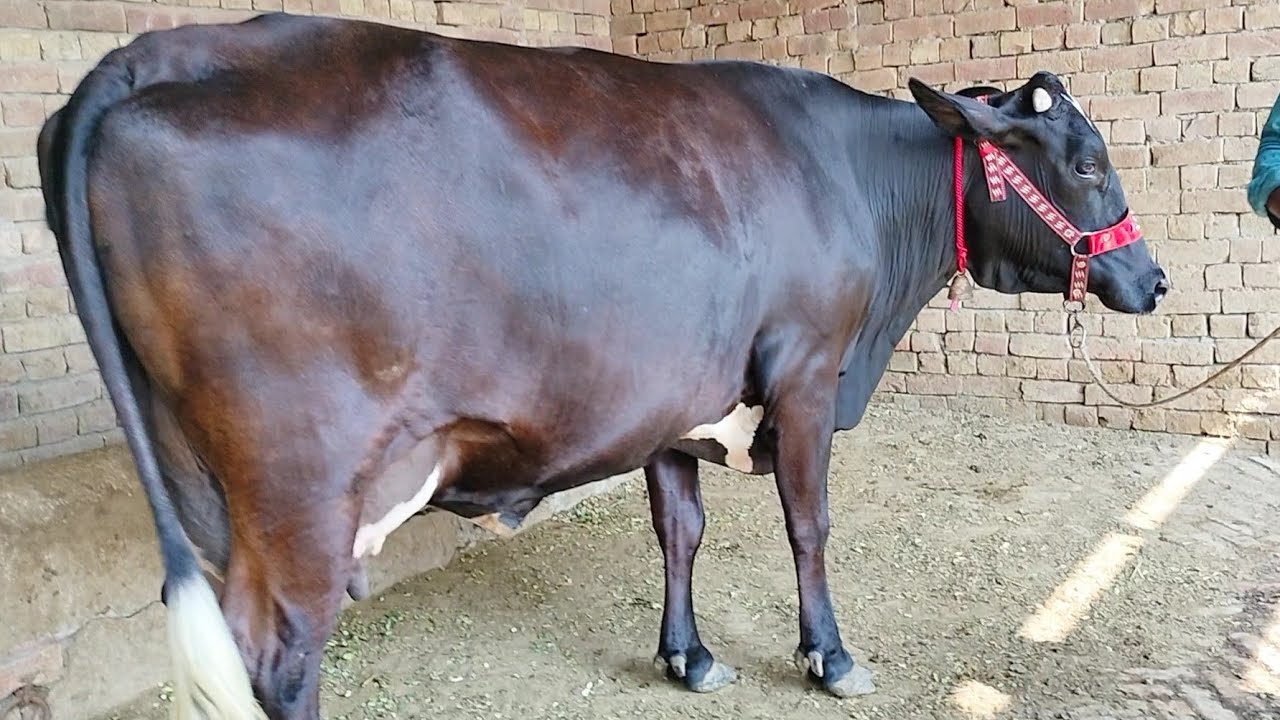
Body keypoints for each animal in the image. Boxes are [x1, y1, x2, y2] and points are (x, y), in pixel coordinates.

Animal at [37, 12, 1168, 720]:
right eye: (1086, 163)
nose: (1152, 279)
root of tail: (153, 56)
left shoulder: (670, 396)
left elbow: (680, 532)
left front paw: (689, 657)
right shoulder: (808, 371)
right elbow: (809, 527)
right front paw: (830, 657)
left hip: (211, 482)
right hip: (300, 479)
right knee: (281, 654)